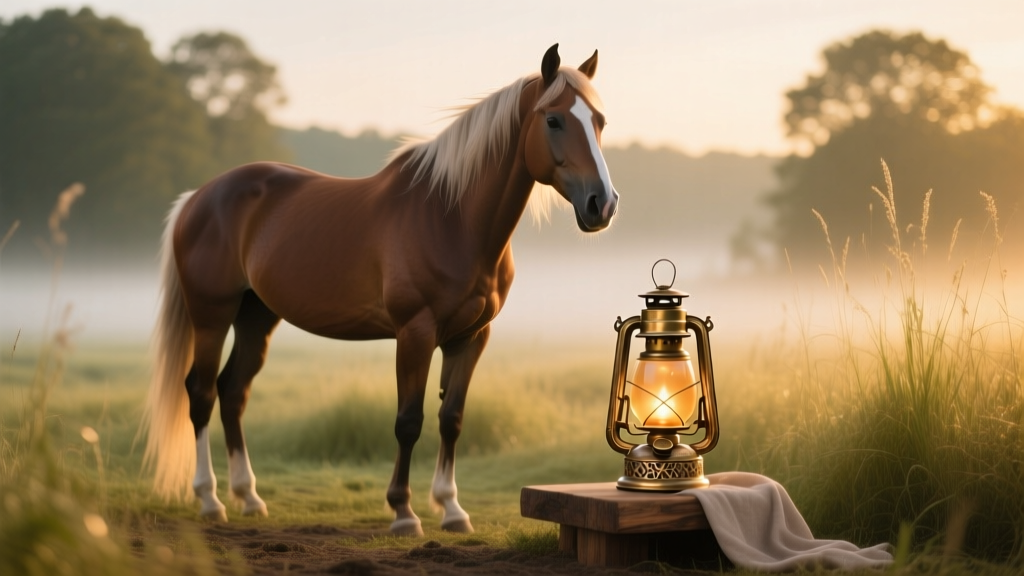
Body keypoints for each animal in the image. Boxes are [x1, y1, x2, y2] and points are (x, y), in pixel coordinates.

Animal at [142, 44, 618, 536]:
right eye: (554, 120)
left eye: (599, 121)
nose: (601, 204)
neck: (451, 219)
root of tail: (199, 197)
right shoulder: (415, 333)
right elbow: (409, 421)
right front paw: (404, 512)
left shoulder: (470, 338)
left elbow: (451, 419)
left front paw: (452, 509)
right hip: (211, 316)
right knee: (201, 393)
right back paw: (210, 499)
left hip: (256, 316)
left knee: (233, 391)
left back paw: (249, 497)